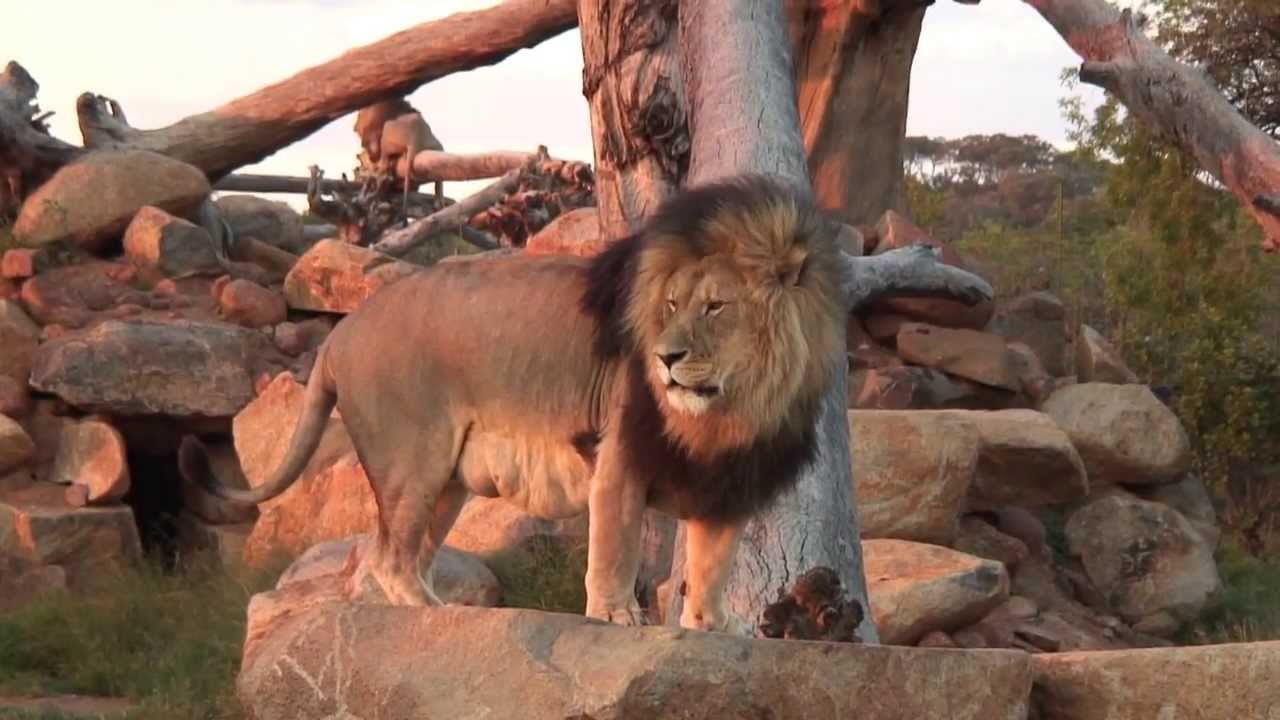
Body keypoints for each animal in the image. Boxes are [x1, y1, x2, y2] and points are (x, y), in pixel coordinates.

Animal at [182, 174, 847, 632]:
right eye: (671, 305)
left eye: (714, 307)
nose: (666, 358)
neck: (733, 411)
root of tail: (341, 332)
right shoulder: (619, 460)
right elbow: (614, 551)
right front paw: (615, 617)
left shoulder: (725, 487)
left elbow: (711, 569)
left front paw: (713, 628)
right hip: (412, 463)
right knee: (388, 558)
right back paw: (439, 615)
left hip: (445, 482)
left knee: (405, 556)